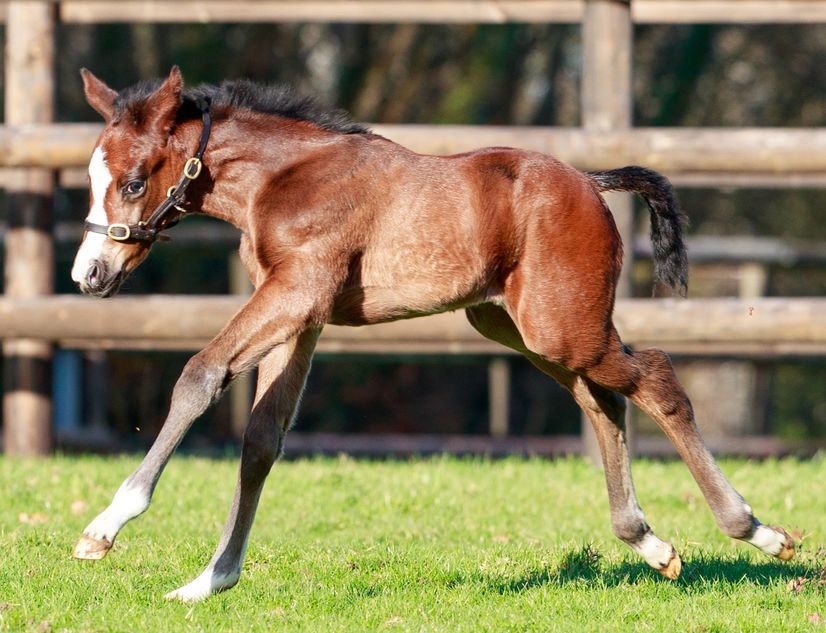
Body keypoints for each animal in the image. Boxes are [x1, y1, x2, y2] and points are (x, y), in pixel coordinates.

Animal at [70, 66, 794, 602]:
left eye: (132, 181)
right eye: (92, 179)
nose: (89, 274)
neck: (283, 179)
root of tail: (591, 181)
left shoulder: (296, 291)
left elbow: (200, 375)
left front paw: (106, 526)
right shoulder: (301, 315)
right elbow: (261, 440)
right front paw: (211, 579)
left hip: (562, 328)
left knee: (658, 380)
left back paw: (755, 530)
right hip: (519, 325)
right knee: (606, 400)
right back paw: (650, 542)